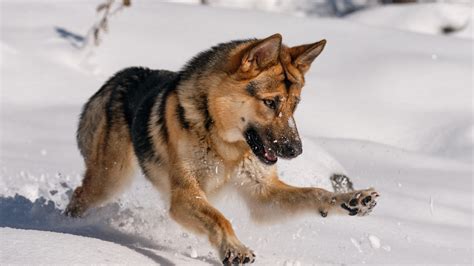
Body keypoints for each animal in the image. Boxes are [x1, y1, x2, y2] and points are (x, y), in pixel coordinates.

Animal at [65, 33, 378, 264]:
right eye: (270, 102)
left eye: (295, 104)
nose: (296, 150)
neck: (225, 144)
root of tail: (119, 77)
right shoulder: (184, 195)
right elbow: (220, 218)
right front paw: (234, 249)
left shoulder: (263, 195)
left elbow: (315, 193)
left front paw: (353, 199)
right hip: (110, 181)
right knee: (78, 196)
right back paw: (69, 228)